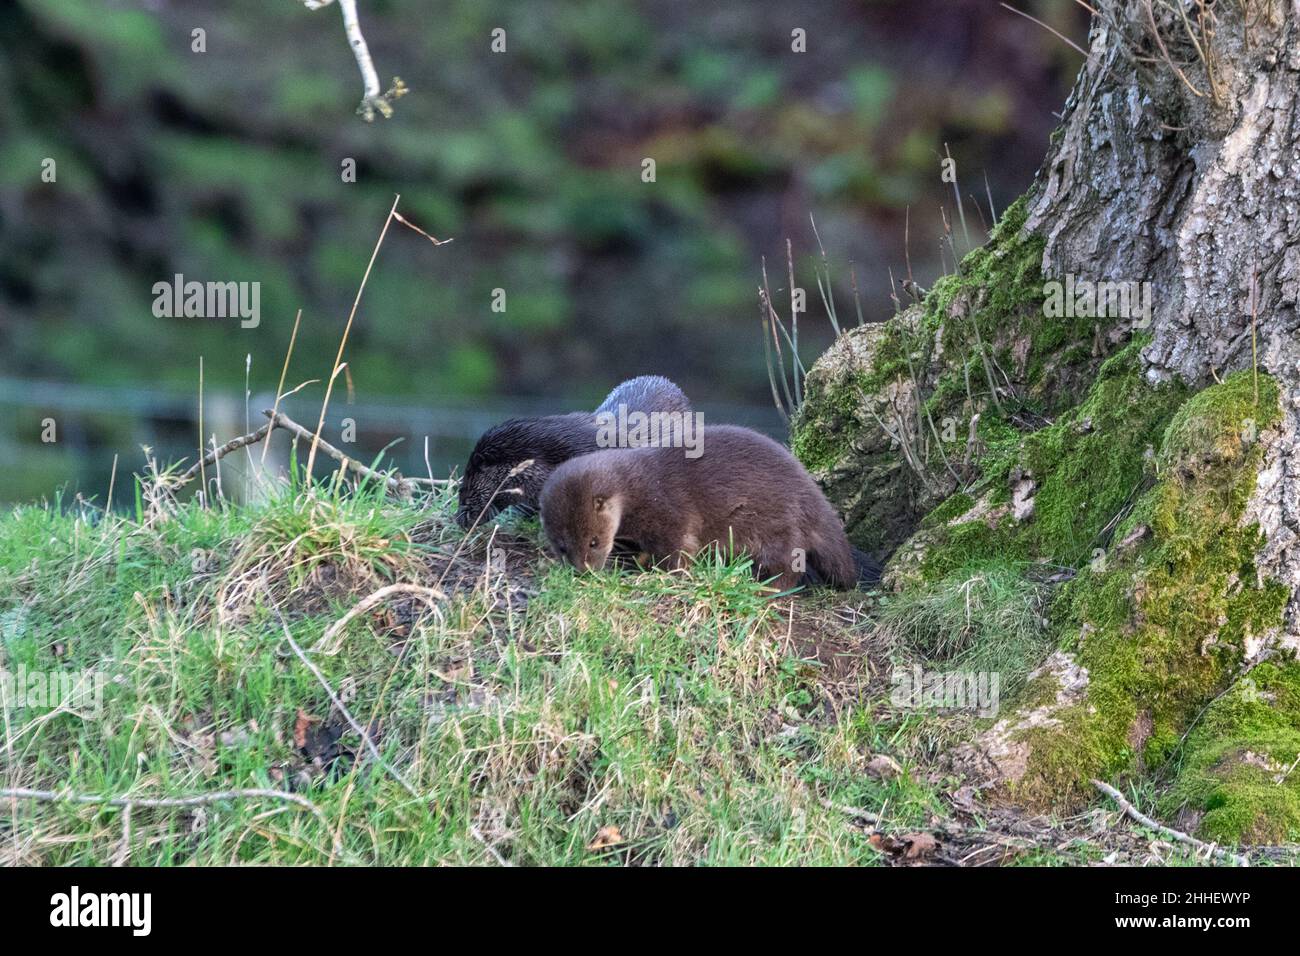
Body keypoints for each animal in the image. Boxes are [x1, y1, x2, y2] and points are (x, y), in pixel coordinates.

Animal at [539, 425, 880, 590]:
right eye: (563, 548)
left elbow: (679, 550)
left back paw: (765, 588)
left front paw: (665, 574)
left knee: (790, 566)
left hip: (779, 525)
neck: (638, 487)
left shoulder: (670, 513)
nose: (584, 572)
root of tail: (815, 500)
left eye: (594, 542)